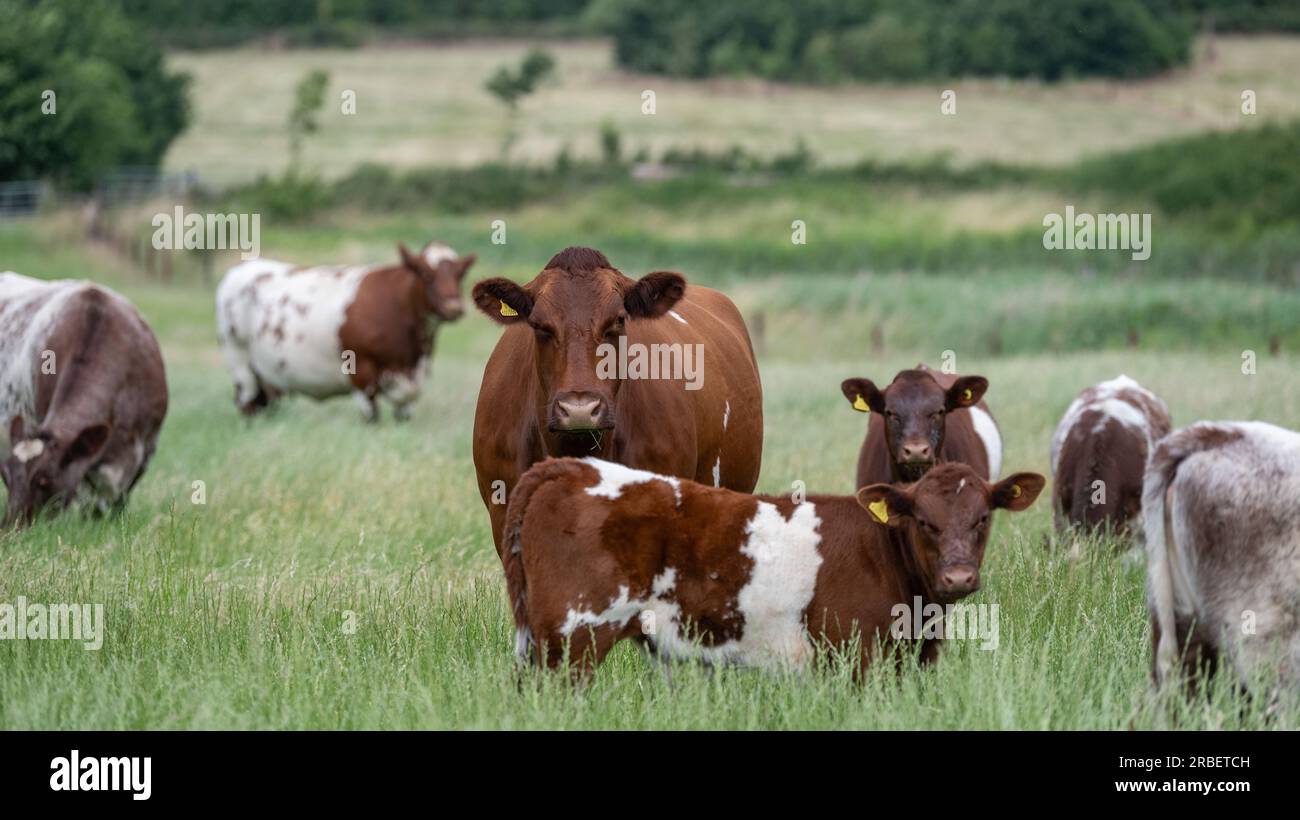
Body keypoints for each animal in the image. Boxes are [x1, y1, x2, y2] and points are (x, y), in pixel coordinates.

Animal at [216, 241, 474, 421]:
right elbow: (372, 417)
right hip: (240, 363)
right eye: (425, 273)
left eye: (460, 274)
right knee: (246, 403)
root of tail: (242, 269)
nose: (454, 307)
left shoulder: (414, 379)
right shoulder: (361, 371)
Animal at [503, 457, 1044, 677]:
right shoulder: (857, 656)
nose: (958, 578)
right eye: (925, 522)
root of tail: (570, 466)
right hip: (573, 636)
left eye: (981, 518)